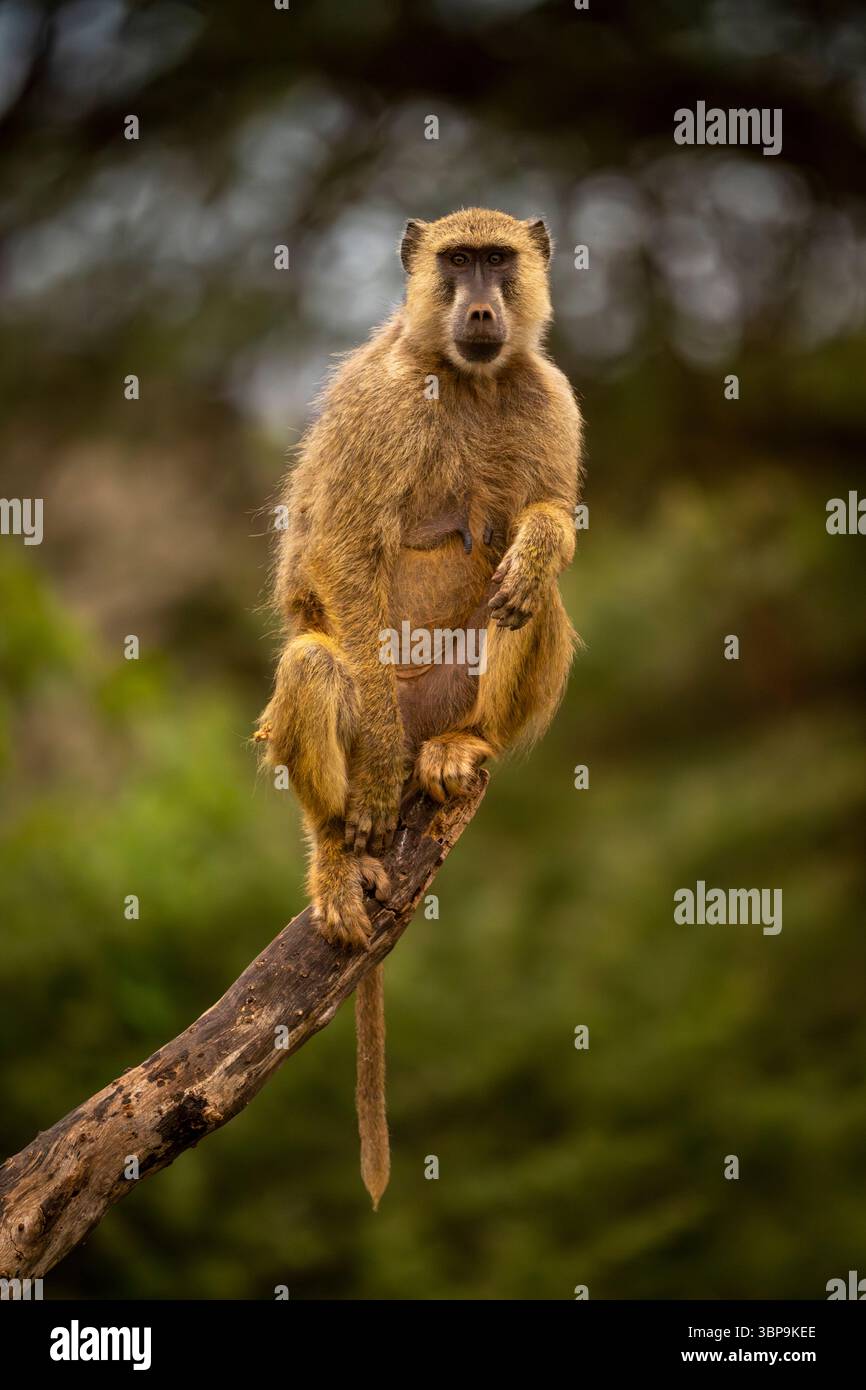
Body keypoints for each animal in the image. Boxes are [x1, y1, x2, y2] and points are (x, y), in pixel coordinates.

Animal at [255, 208, 583, 1209]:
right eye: (456, 261)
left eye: (498, 262)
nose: (479, 309)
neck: (469, 381)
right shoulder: (378, 406)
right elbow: (334, 556)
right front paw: (360, 796)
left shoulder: (549, 394)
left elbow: (549, 526)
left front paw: (536, 544)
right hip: (381, 713)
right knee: (317, 664)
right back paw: (342, 845)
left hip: (458, 699)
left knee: (533, 602)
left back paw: (459, 747)